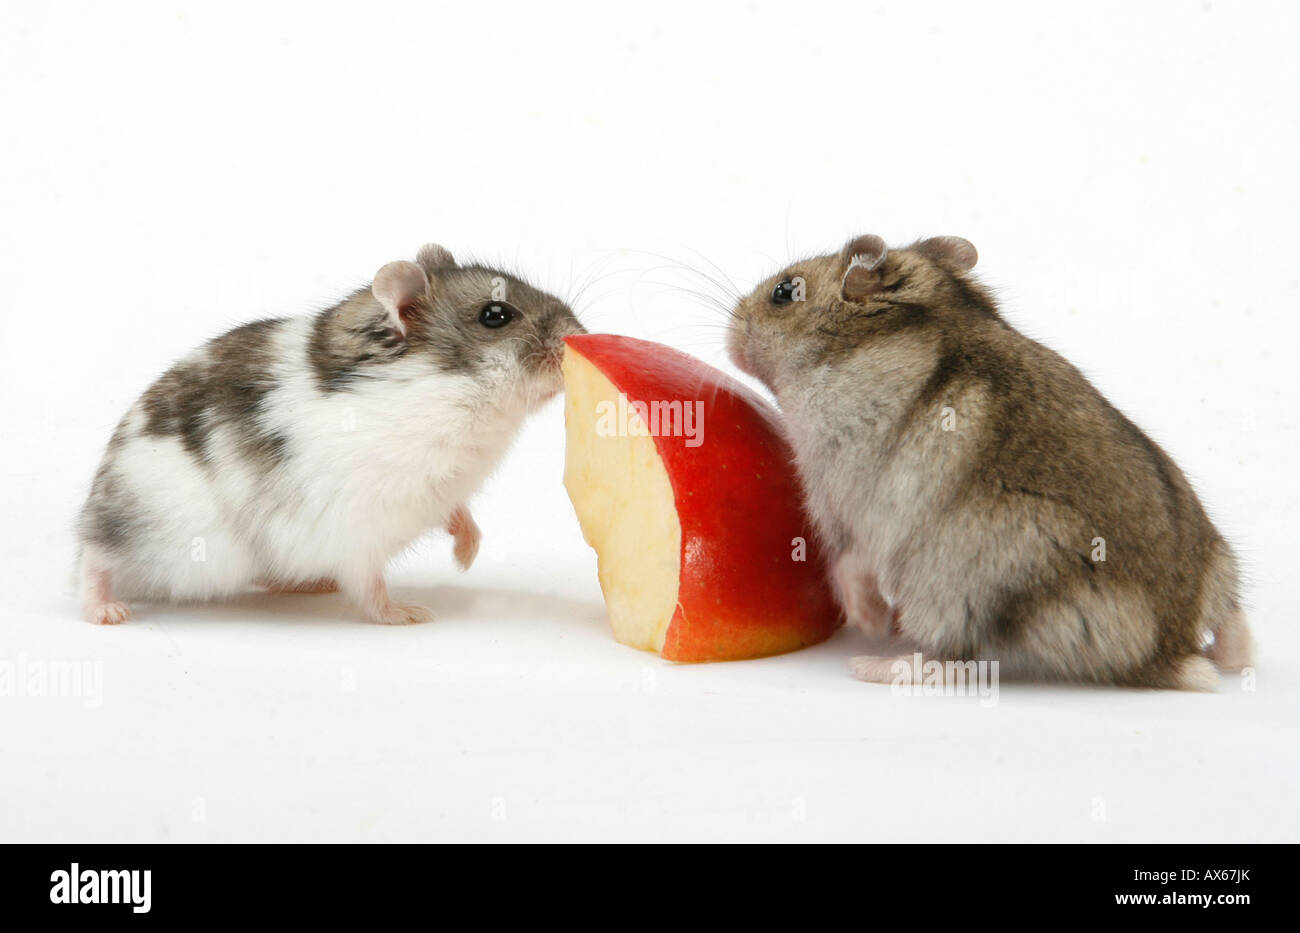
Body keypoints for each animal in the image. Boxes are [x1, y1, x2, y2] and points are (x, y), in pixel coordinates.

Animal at [77, 243, 584, 625]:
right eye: (495, 314)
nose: (578, 334)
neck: (444, 390)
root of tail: (95, 503)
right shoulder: (357, 530)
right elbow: (369, 585)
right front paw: (410, 614)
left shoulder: (442, 493)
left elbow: (459, 514)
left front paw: (467, 556)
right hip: (145, 535)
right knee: (94, 560)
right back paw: (108, 612)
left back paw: (311, 585)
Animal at [726, 234, 1251, 690]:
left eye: (784, 292)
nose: (732, 325)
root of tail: (1170, 647)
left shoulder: (843, 499)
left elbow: (849, 566)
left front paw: (870, 621)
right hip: (1217, 559)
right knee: (1234, 620)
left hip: (968, 586)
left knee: (957, 662)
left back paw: (875, 663)